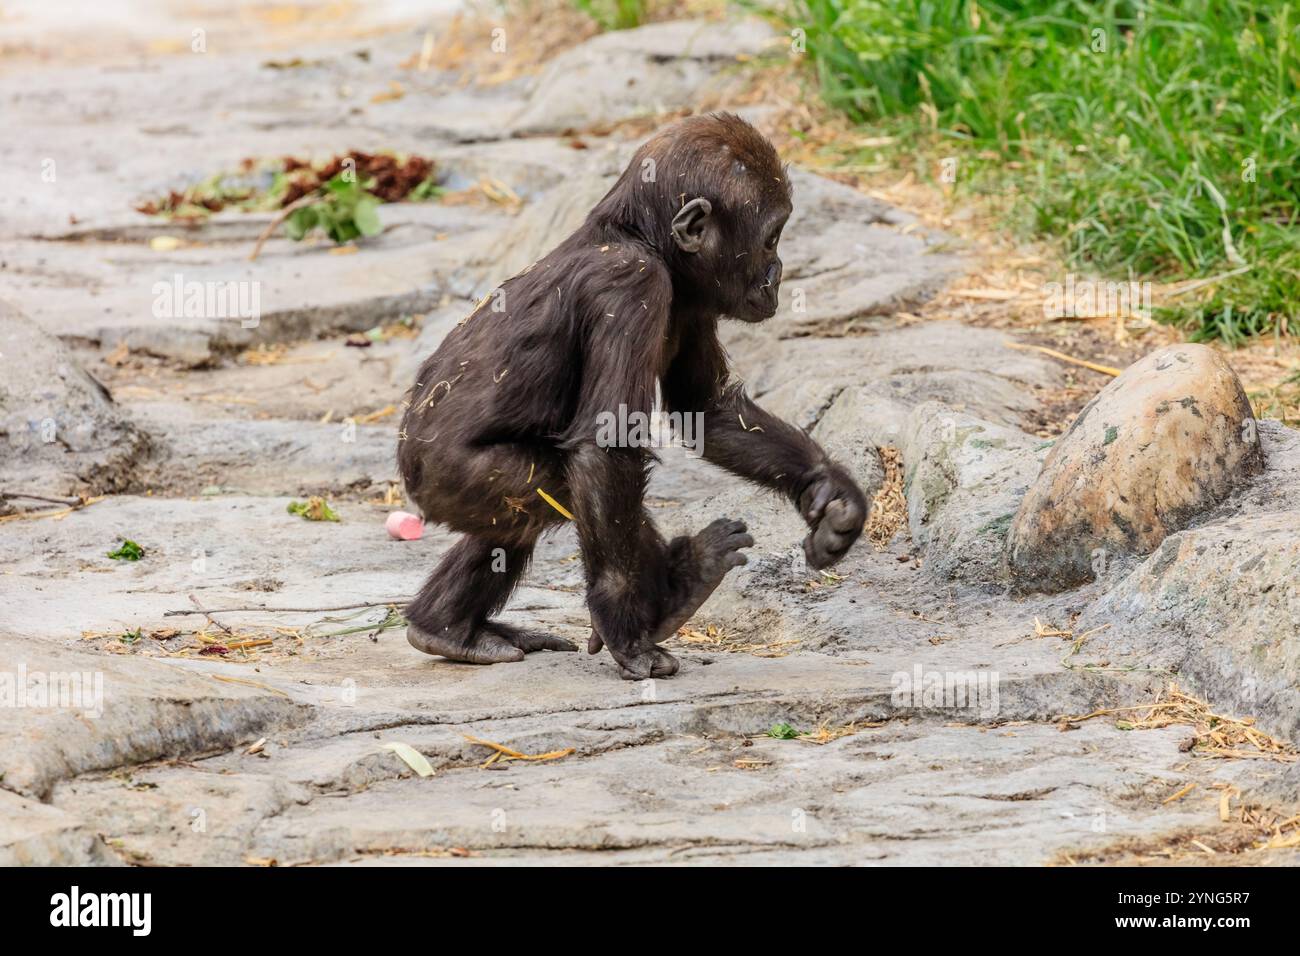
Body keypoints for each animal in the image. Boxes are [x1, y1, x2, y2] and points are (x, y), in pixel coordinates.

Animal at [397, 112, 867, 680]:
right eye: (771, 239)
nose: (778, 276)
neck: (642, 238)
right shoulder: (631, 286)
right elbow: (609, 445)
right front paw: (622, 621)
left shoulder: (694, 299)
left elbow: (706, 411)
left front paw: (830, 490)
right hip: (447, 472)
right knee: (555, 487)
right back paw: (675, 591)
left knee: (515, 519)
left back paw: (445, 627)